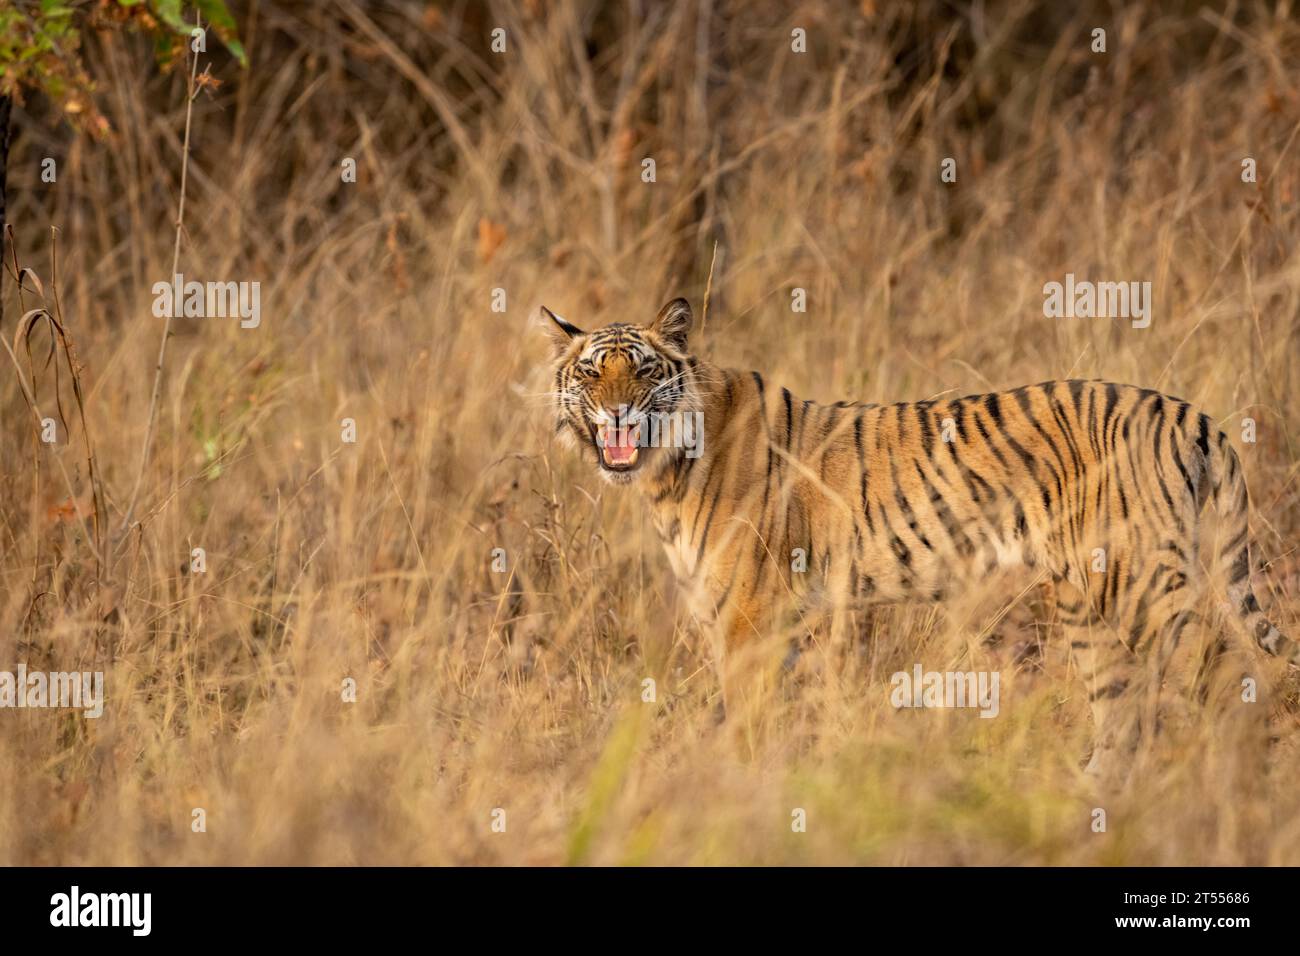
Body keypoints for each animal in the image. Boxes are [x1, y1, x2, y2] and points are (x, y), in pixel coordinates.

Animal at [541, 296, 1295, 773]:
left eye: (643, 368)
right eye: (591, 370)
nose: (617, 412)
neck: (664, 472)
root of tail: (1191, 412)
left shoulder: (748, 621)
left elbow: (745, 724)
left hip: (1140, 584)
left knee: (1219, 677)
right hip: (1088, 601)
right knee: (1122, 707)